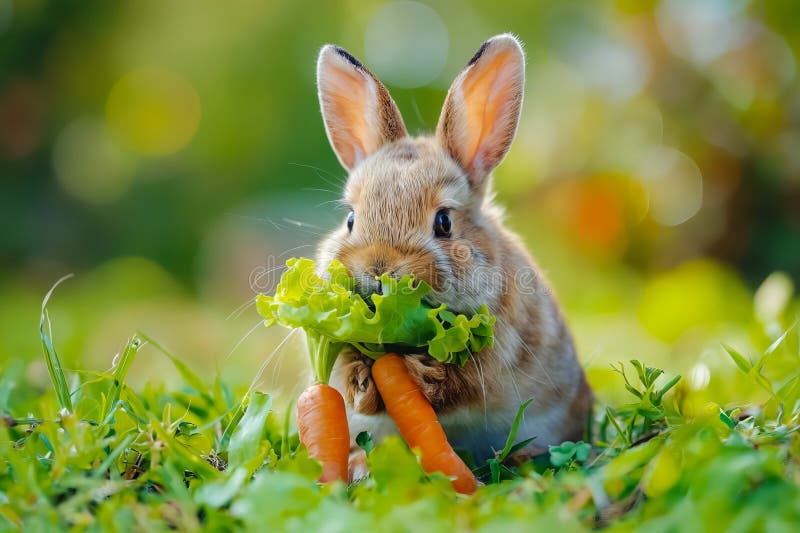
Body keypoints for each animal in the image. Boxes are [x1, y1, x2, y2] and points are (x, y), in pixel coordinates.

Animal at [314, 34, 593, 468]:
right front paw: (363, 381)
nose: (378, 270)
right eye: (350, 219)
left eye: (443, 222)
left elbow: (463, 383)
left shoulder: (497, 350)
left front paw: (421, 376)